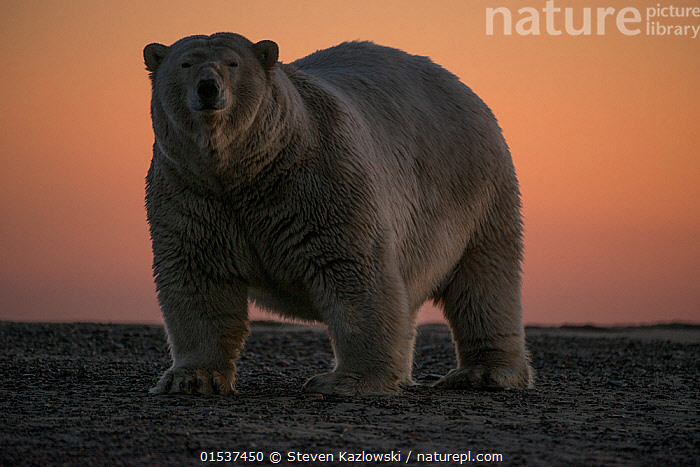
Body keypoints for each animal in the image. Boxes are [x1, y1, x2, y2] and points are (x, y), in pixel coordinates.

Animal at [143, 32, 533, 396]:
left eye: (233, 63)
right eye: (185, 64)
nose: (208, 88)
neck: (248, 170)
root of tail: (462, 87)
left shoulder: (319, 179)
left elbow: (353, 270)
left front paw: (345, 380)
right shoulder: (193, 191)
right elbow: (199, 276)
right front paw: (190, 378)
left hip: (475, 186)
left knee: (484, 279)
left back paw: (483, 373)